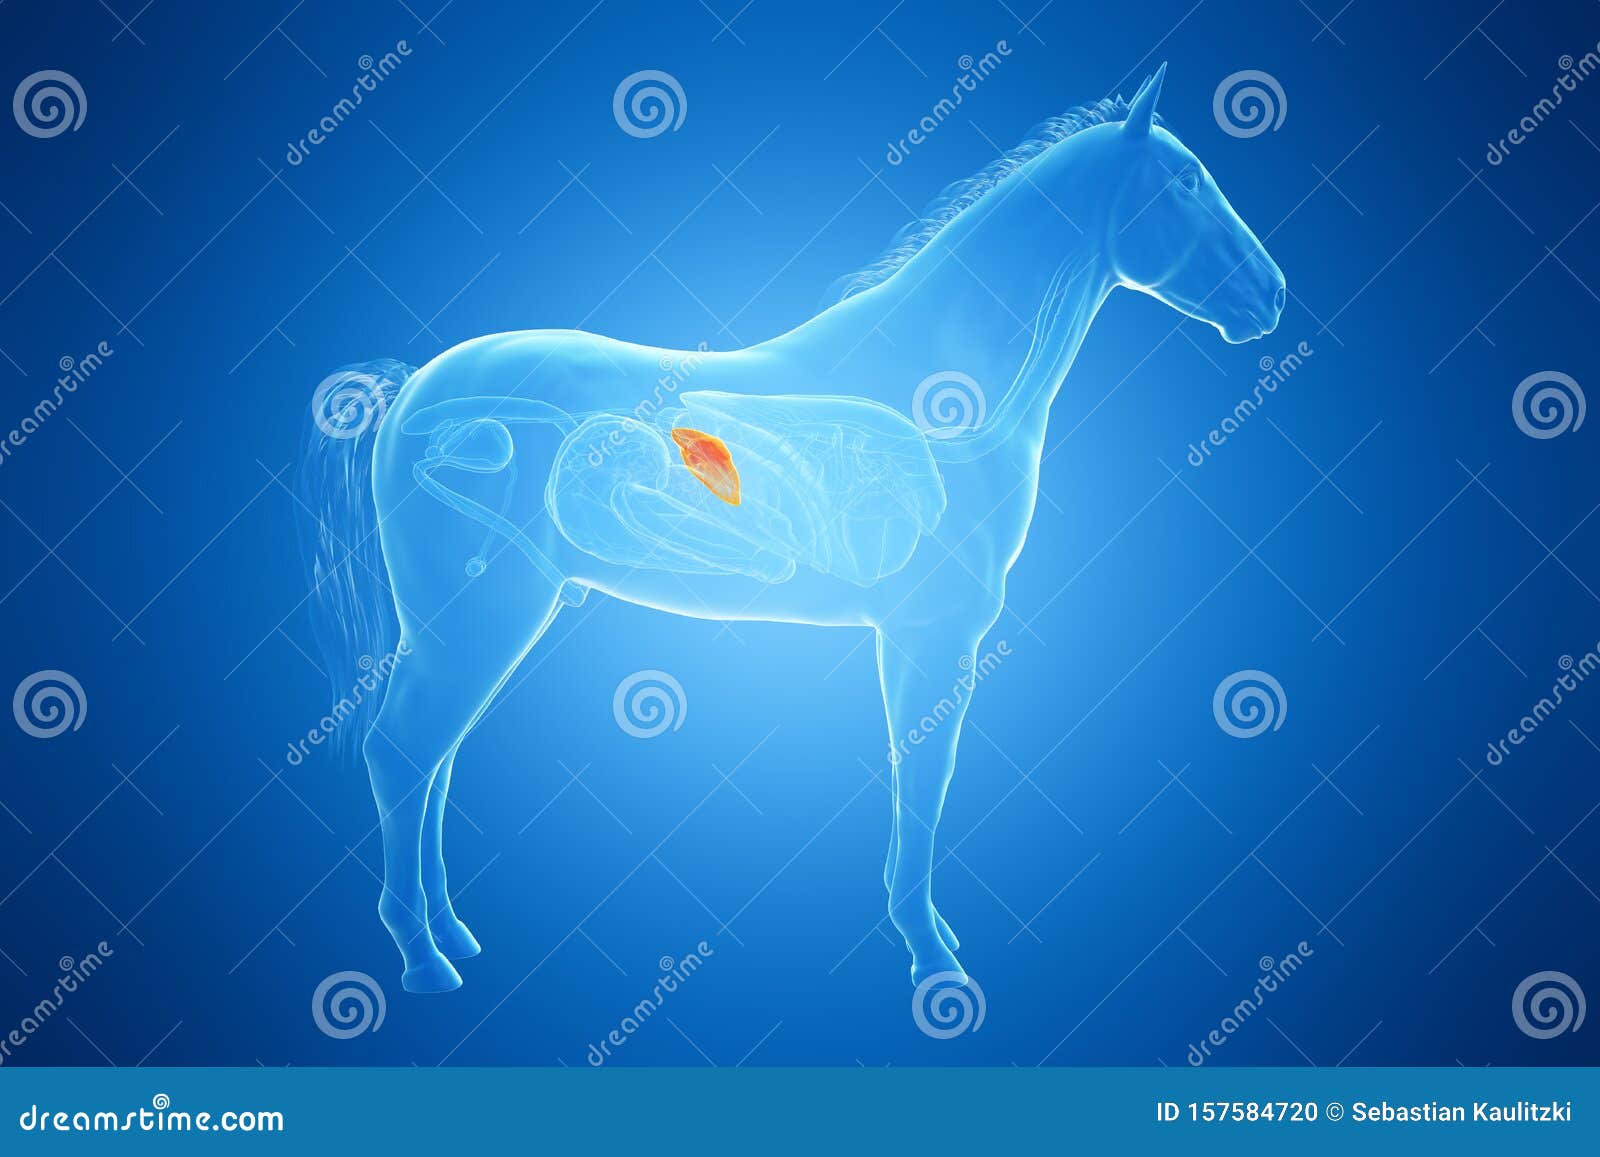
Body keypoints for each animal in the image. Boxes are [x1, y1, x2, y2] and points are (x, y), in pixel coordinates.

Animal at [297, 64, 1285, 995]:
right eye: (1186, 180)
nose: (1272, 295)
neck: (939, 396)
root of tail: (414, 393)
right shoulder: (932, 637)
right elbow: (922, 784)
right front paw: (932, 958)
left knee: (433, 760)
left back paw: (453, 935)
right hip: (473, 622)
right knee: (403, 752)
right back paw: (424, 960)